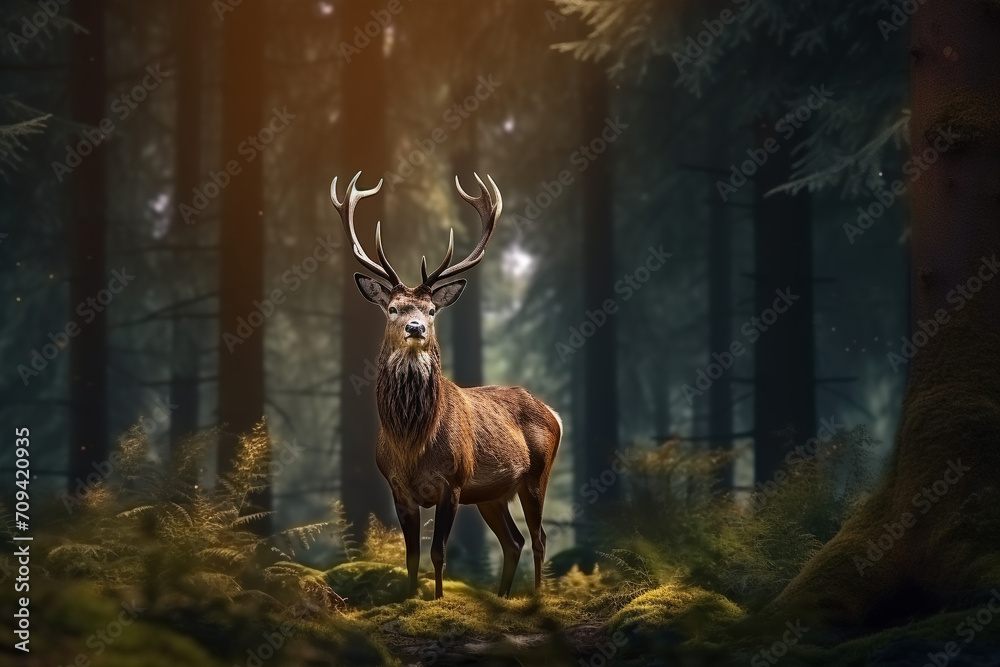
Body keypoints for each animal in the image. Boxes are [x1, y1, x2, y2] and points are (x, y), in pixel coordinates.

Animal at [331, 171, 562, 599]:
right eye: (392, 308)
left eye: (432, 310)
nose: (415, 327)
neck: (412, 442)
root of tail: (552, 412)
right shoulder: (397, 489)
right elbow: (410, 557)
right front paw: (410, 599)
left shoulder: (452, 483)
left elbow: (438, 553)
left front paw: (437, 600)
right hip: (492, 493)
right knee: (514, 541)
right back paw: (502, 597)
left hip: (536, 473)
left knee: (538, 538)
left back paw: (538, 597)